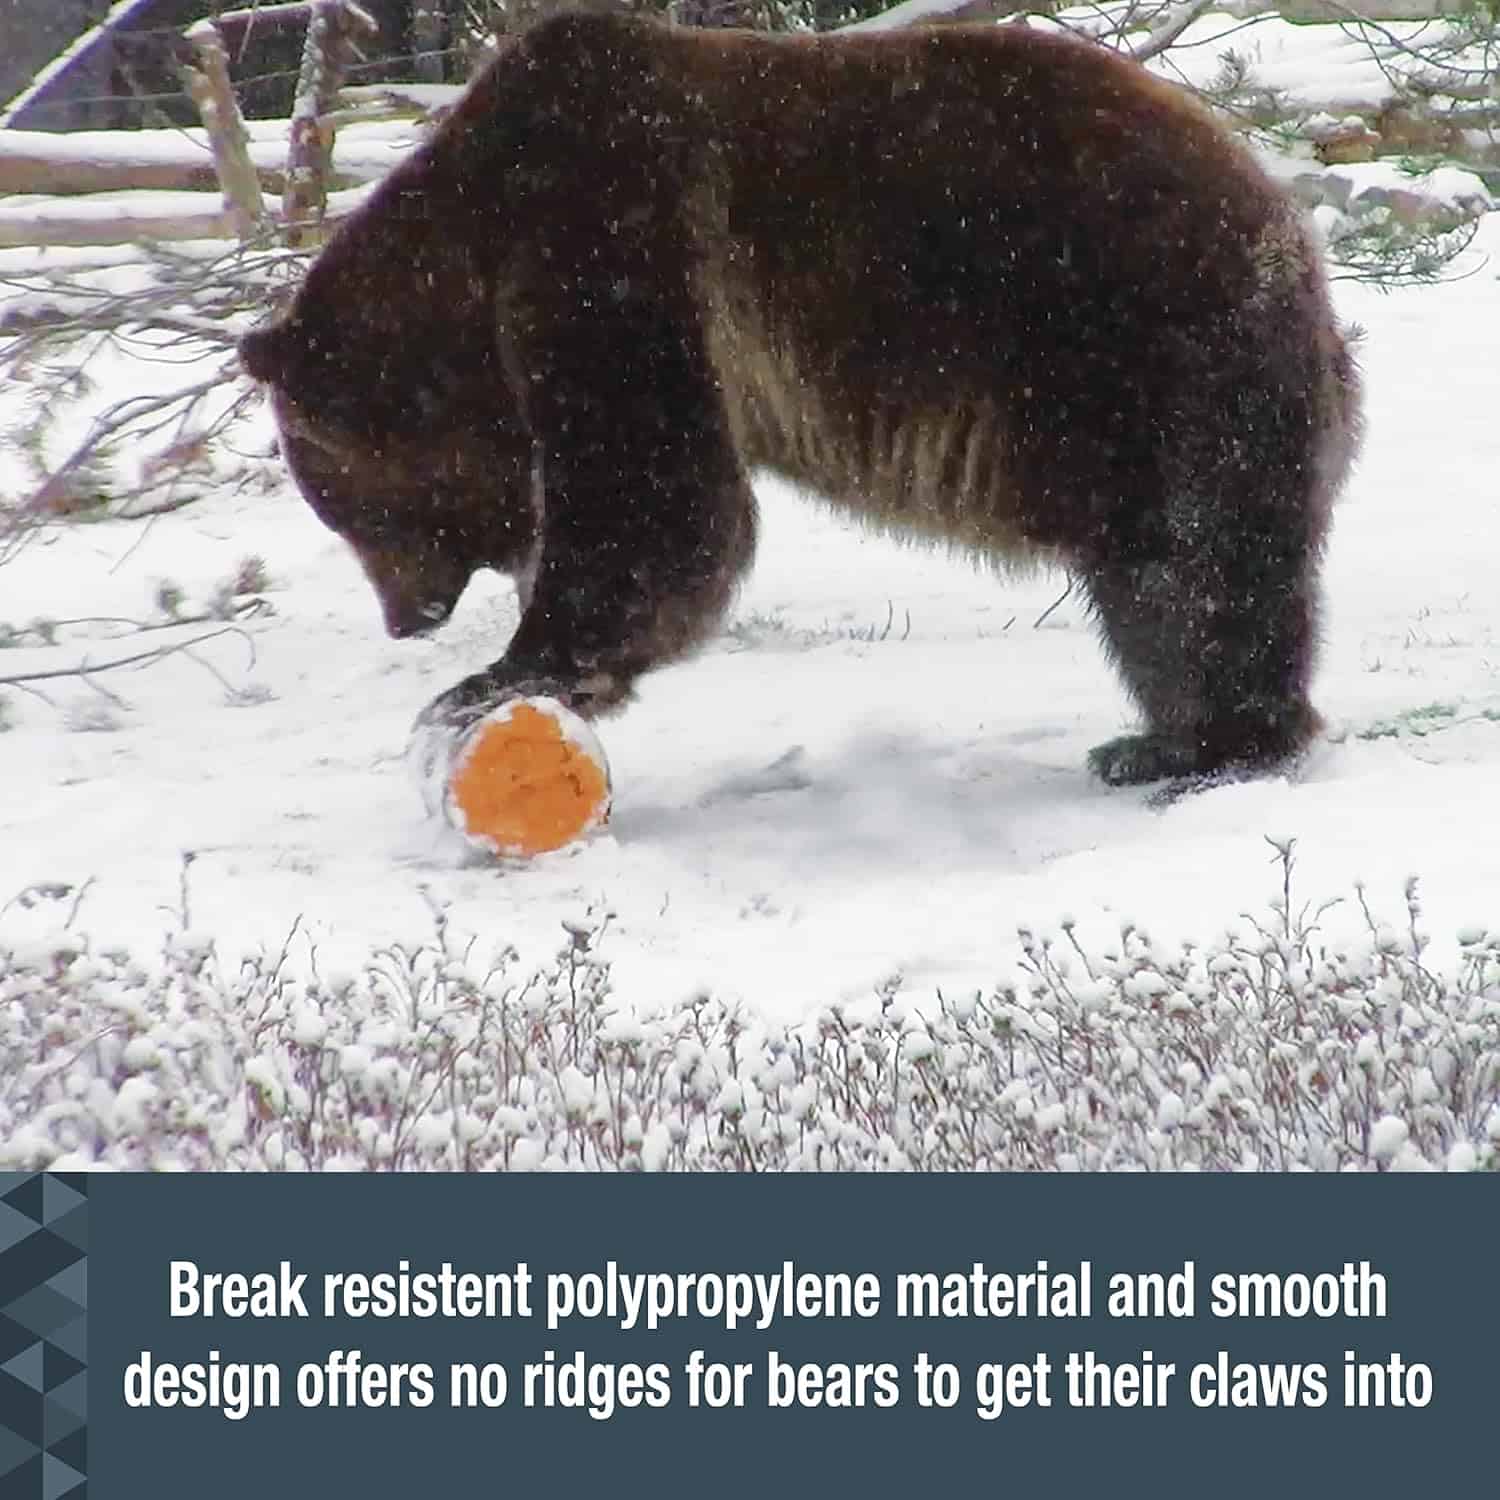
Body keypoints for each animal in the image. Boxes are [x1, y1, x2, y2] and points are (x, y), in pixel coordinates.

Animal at [238, 12, 1361, 789]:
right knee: (1162, 585)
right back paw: (1159, 739)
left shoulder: (609, 238)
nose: (405, 620)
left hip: (1146, 349)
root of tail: (1286, 222)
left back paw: (1212, 745)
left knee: (1192, 564)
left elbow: (656, 497)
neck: (466, 257)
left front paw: (499, 679)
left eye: (348, 508)